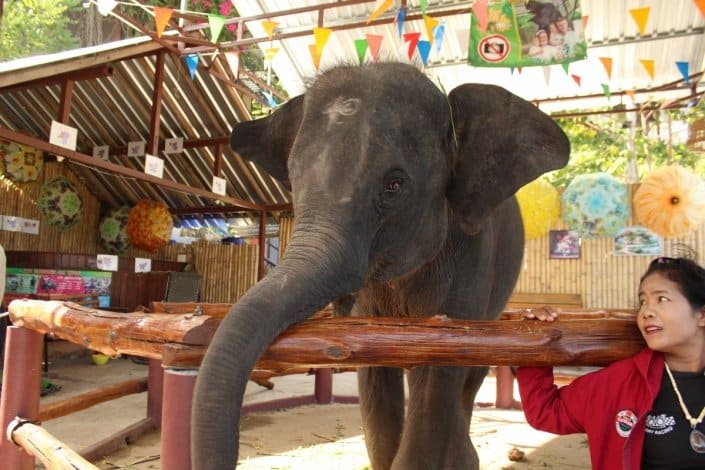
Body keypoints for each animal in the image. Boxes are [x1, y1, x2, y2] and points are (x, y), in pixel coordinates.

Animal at [192, 62, 570, 470]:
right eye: (293, 180)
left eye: (394, 185)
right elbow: (374, 379)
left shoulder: (471, 252)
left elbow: (438, 372)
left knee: (471, 377)